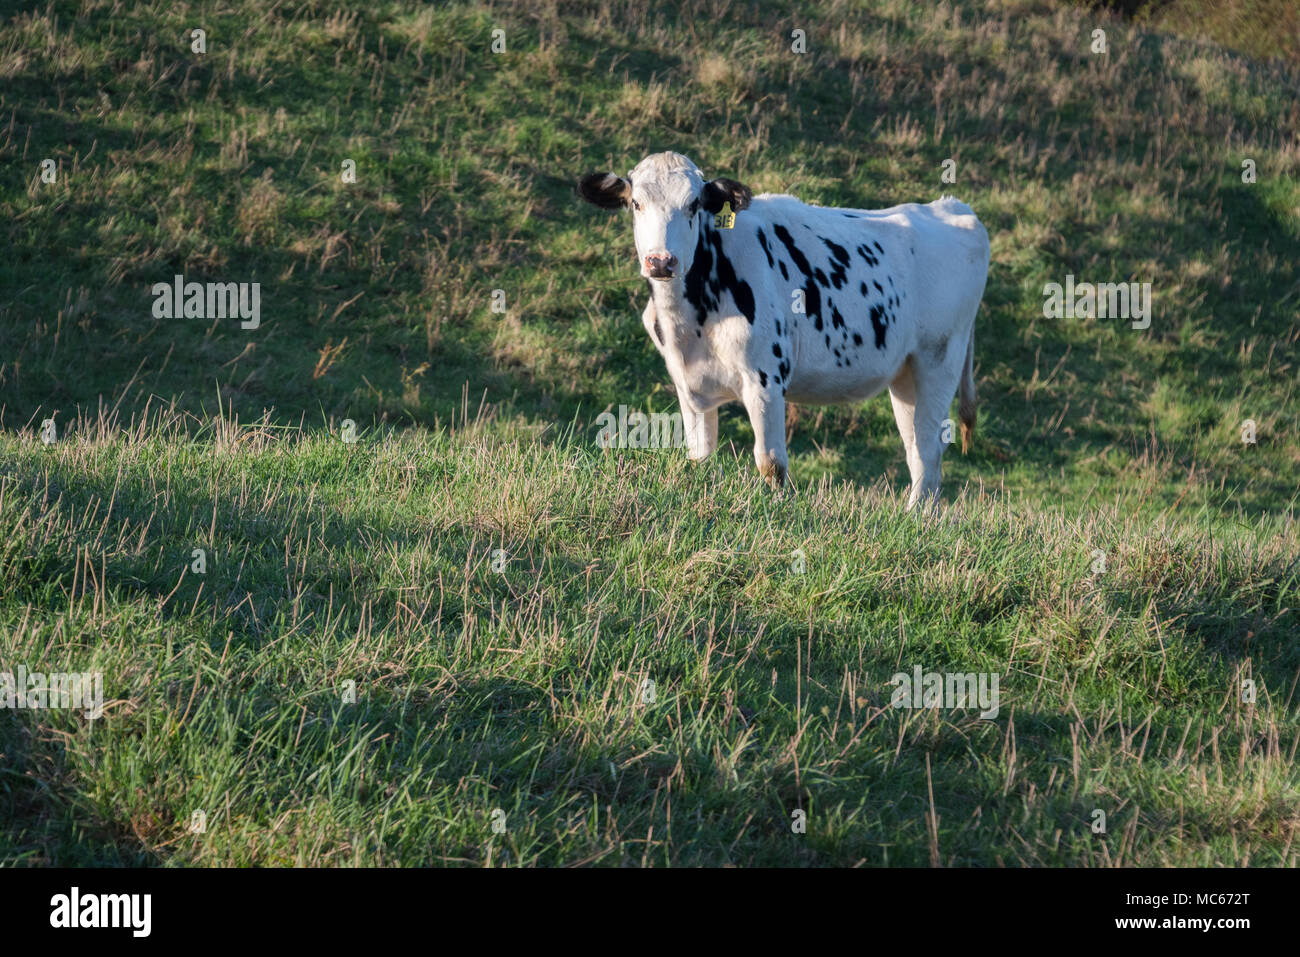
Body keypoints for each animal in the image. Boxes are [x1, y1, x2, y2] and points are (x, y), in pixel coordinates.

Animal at [578, 151, 990, 509]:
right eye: (636, 203)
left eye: (694, 205)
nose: (661, 261)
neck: (690, 321)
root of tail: (952, 207)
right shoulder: (688, 385)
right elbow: (699, 457)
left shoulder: (764, 377)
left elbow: (771, 462)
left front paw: (777, 510)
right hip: (905, 373)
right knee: (914, 448)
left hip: (940, 359)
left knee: (929, 447)